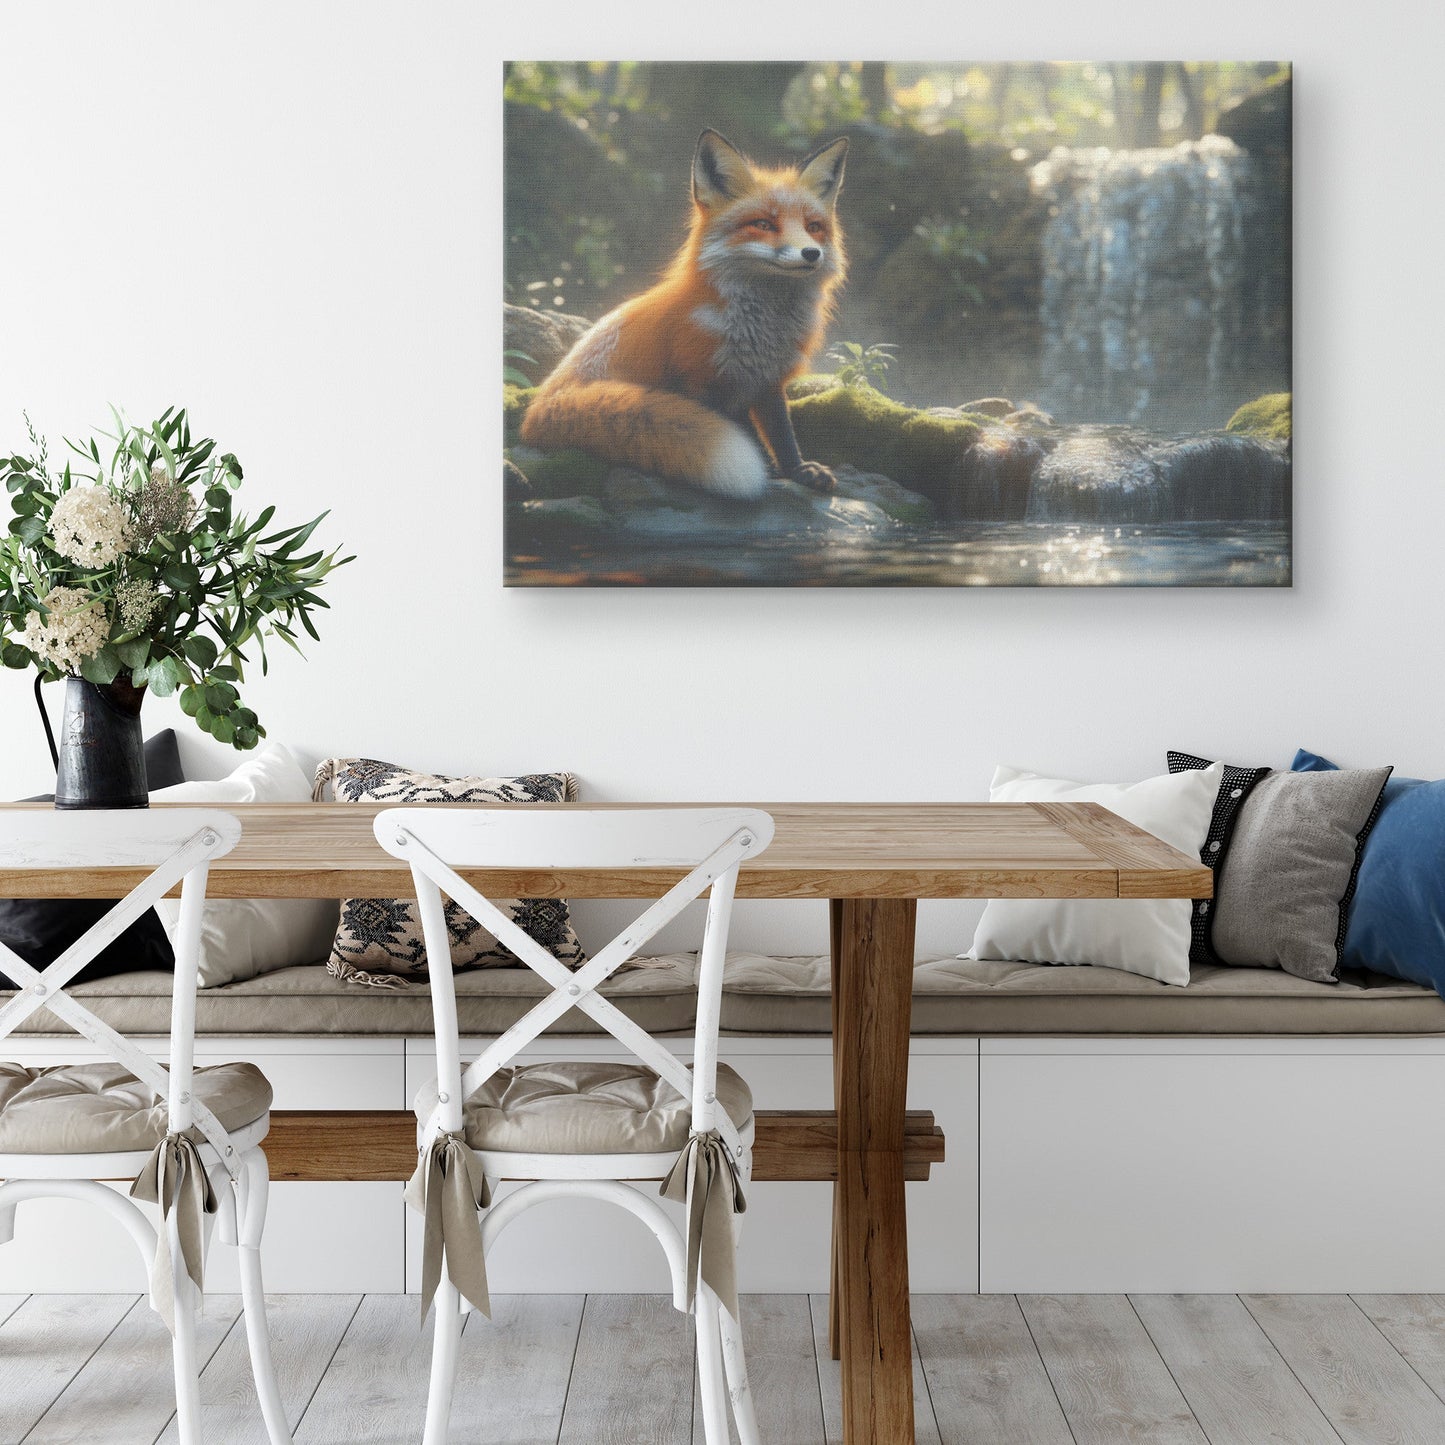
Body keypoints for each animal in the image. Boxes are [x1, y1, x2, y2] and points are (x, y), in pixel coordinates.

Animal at [520, 128, 849, 499]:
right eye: (764, 224)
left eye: (814, 226)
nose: (811, 253)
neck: (759, 328)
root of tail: (538, 407)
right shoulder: (700, 380)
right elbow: (743, 430)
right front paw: (769, 469)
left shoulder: (767, 379)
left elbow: (783, 435)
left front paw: (797, 470)